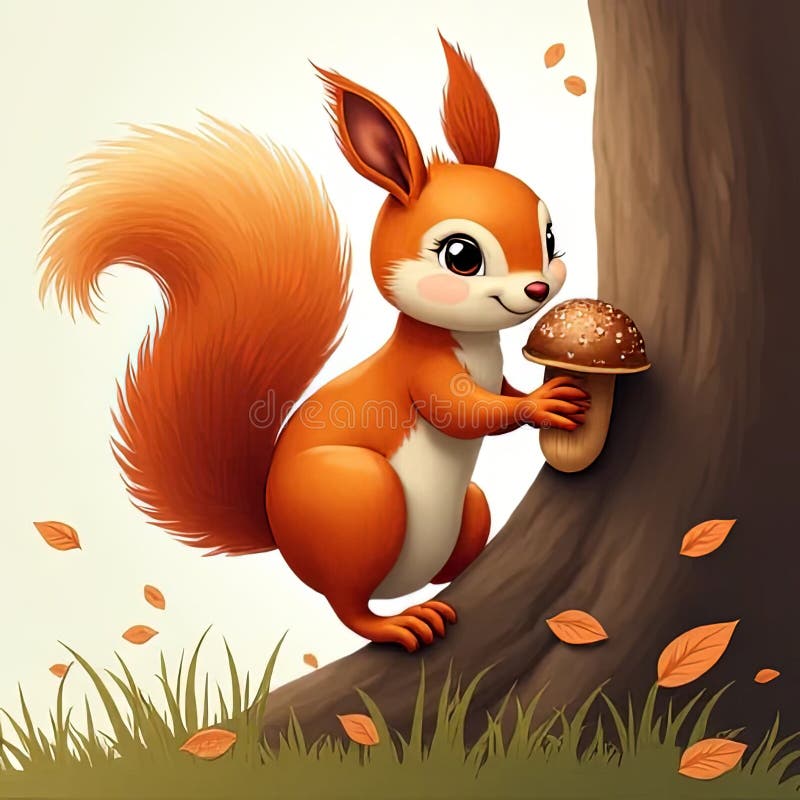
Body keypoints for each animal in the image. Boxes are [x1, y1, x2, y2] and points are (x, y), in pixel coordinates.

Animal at [38, 34, 590, 652]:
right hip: (358, 496)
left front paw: (541, 385)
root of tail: (281, 535)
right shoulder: (421, 372)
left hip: (464, 508)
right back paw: (397, 622)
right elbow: (464, 412)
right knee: (348, 605)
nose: (538, 288)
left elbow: (500, 389)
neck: (473, 341)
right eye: (461, 255)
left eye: (550, 236)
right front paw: (541, 404)